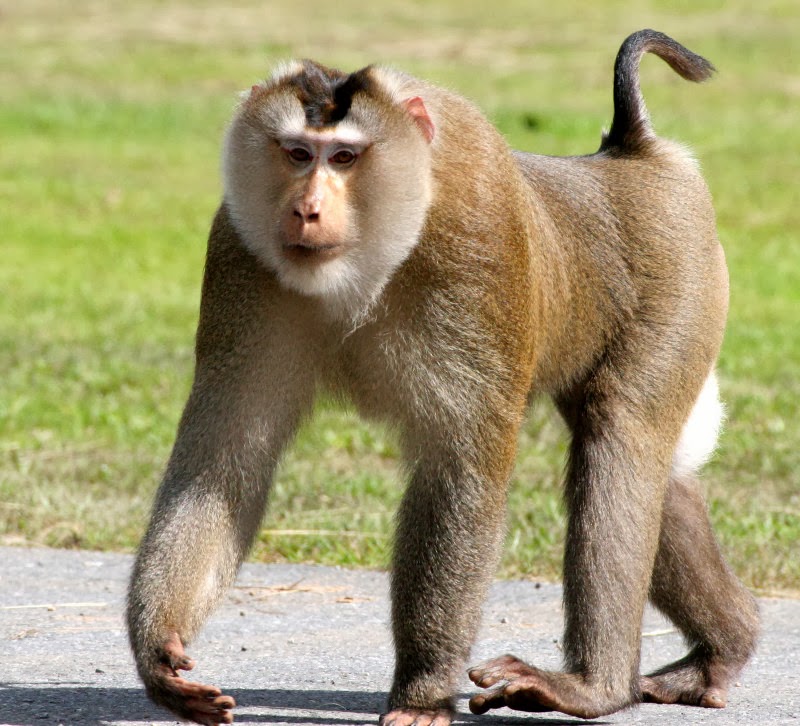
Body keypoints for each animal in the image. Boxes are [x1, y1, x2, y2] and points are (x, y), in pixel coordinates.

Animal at [127, 29, 759, 726]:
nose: (306, 210)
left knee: (621, 434)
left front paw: (424, 687)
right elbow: (221, 462)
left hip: (681, 276)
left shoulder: (477, 241)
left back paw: (594, 687)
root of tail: (634, 152)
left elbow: (459, 467)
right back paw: (722, 649)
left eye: (344, 157)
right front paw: (158, 648)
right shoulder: (240, 253)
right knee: (653, 464)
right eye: (296, 153)